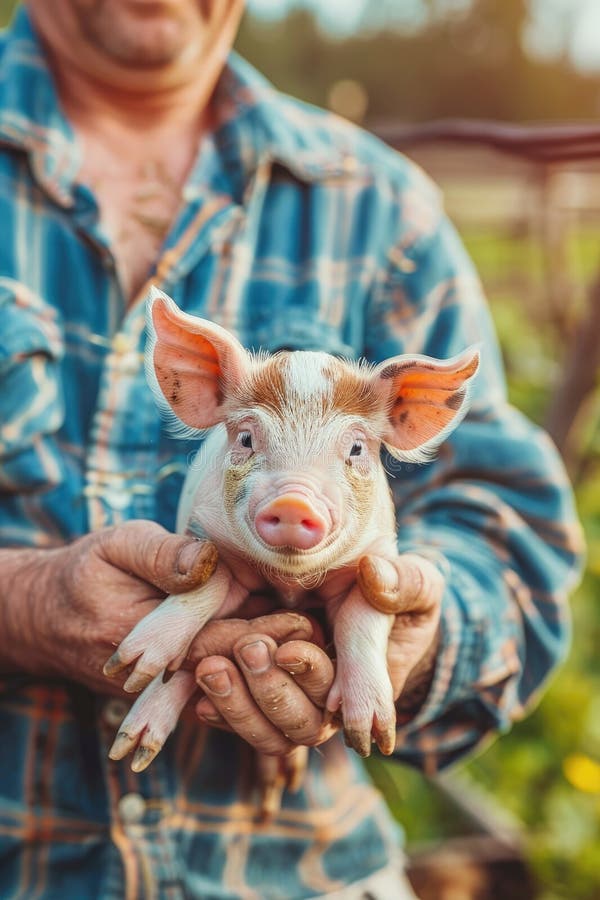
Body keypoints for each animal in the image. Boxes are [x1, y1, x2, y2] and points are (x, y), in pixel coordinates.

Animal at [104, 286, 479, 787]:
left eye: (356, 448)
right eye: (246, 438)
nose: (294, 502)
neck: (289, 583)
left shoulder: (377, 561)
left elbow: (364, 615)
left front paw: (371, 737)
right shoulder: (205, 537)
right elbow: (207, 584)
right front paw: (127, 665)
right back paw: (133, 747)